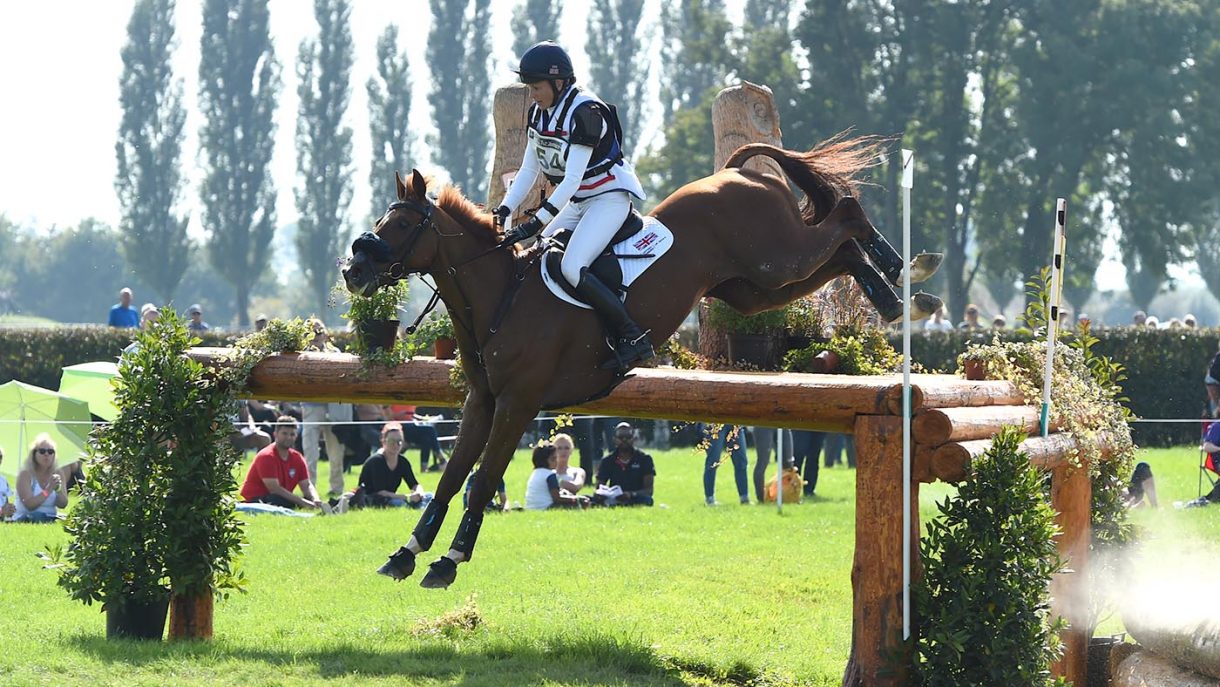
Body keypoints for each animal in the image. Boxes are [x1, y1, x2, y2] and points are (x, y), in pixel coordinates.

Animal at [341, 136, 942, 589]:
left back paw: (910, 275)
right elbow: (451, 477)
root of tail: (741, 174)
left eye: (400, 226)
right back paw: (898, 295)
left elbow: (483, 480)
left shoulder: (518, 403)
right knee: (839, 251)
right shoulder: (482, 401)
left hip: (776, 259)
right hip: (753, 288)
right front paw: (407, 552)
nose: (353, 271)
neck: (500, 299)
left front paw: (448, 561)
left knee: (845, 218)